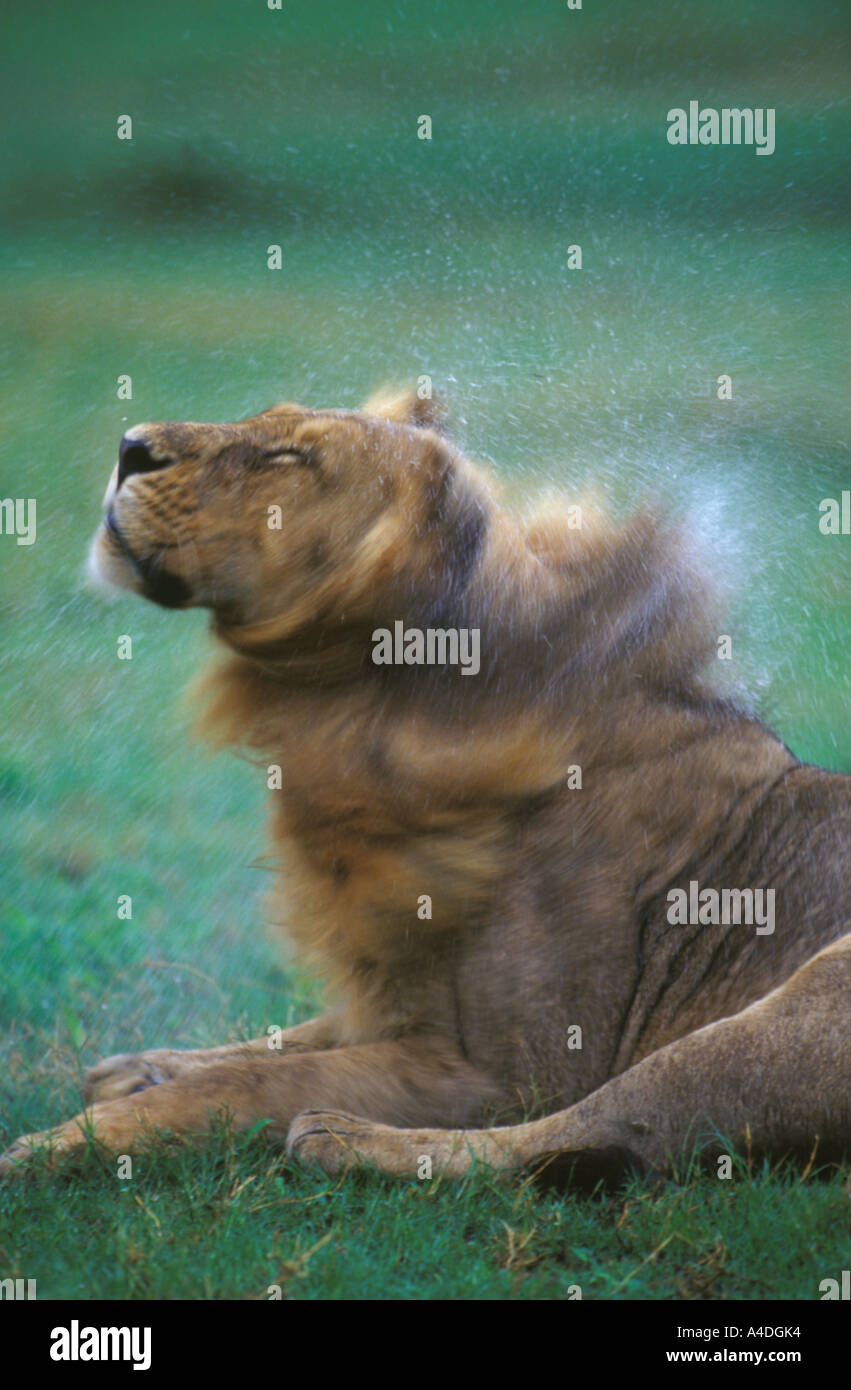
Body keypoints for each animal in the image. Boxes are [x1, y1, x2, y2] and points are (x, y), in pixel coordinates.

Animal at [2, 387, 849, 1184]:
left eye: (290, 457)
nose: (129, 446)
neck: (382, 713)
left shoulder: (506, 1069)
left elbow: (247, 1083)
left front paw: (60, 1142)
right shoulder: (401, 996)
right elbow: (277, 1040)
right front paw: (141, 1068)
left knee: (590, 1136)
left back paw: (339, 1138)